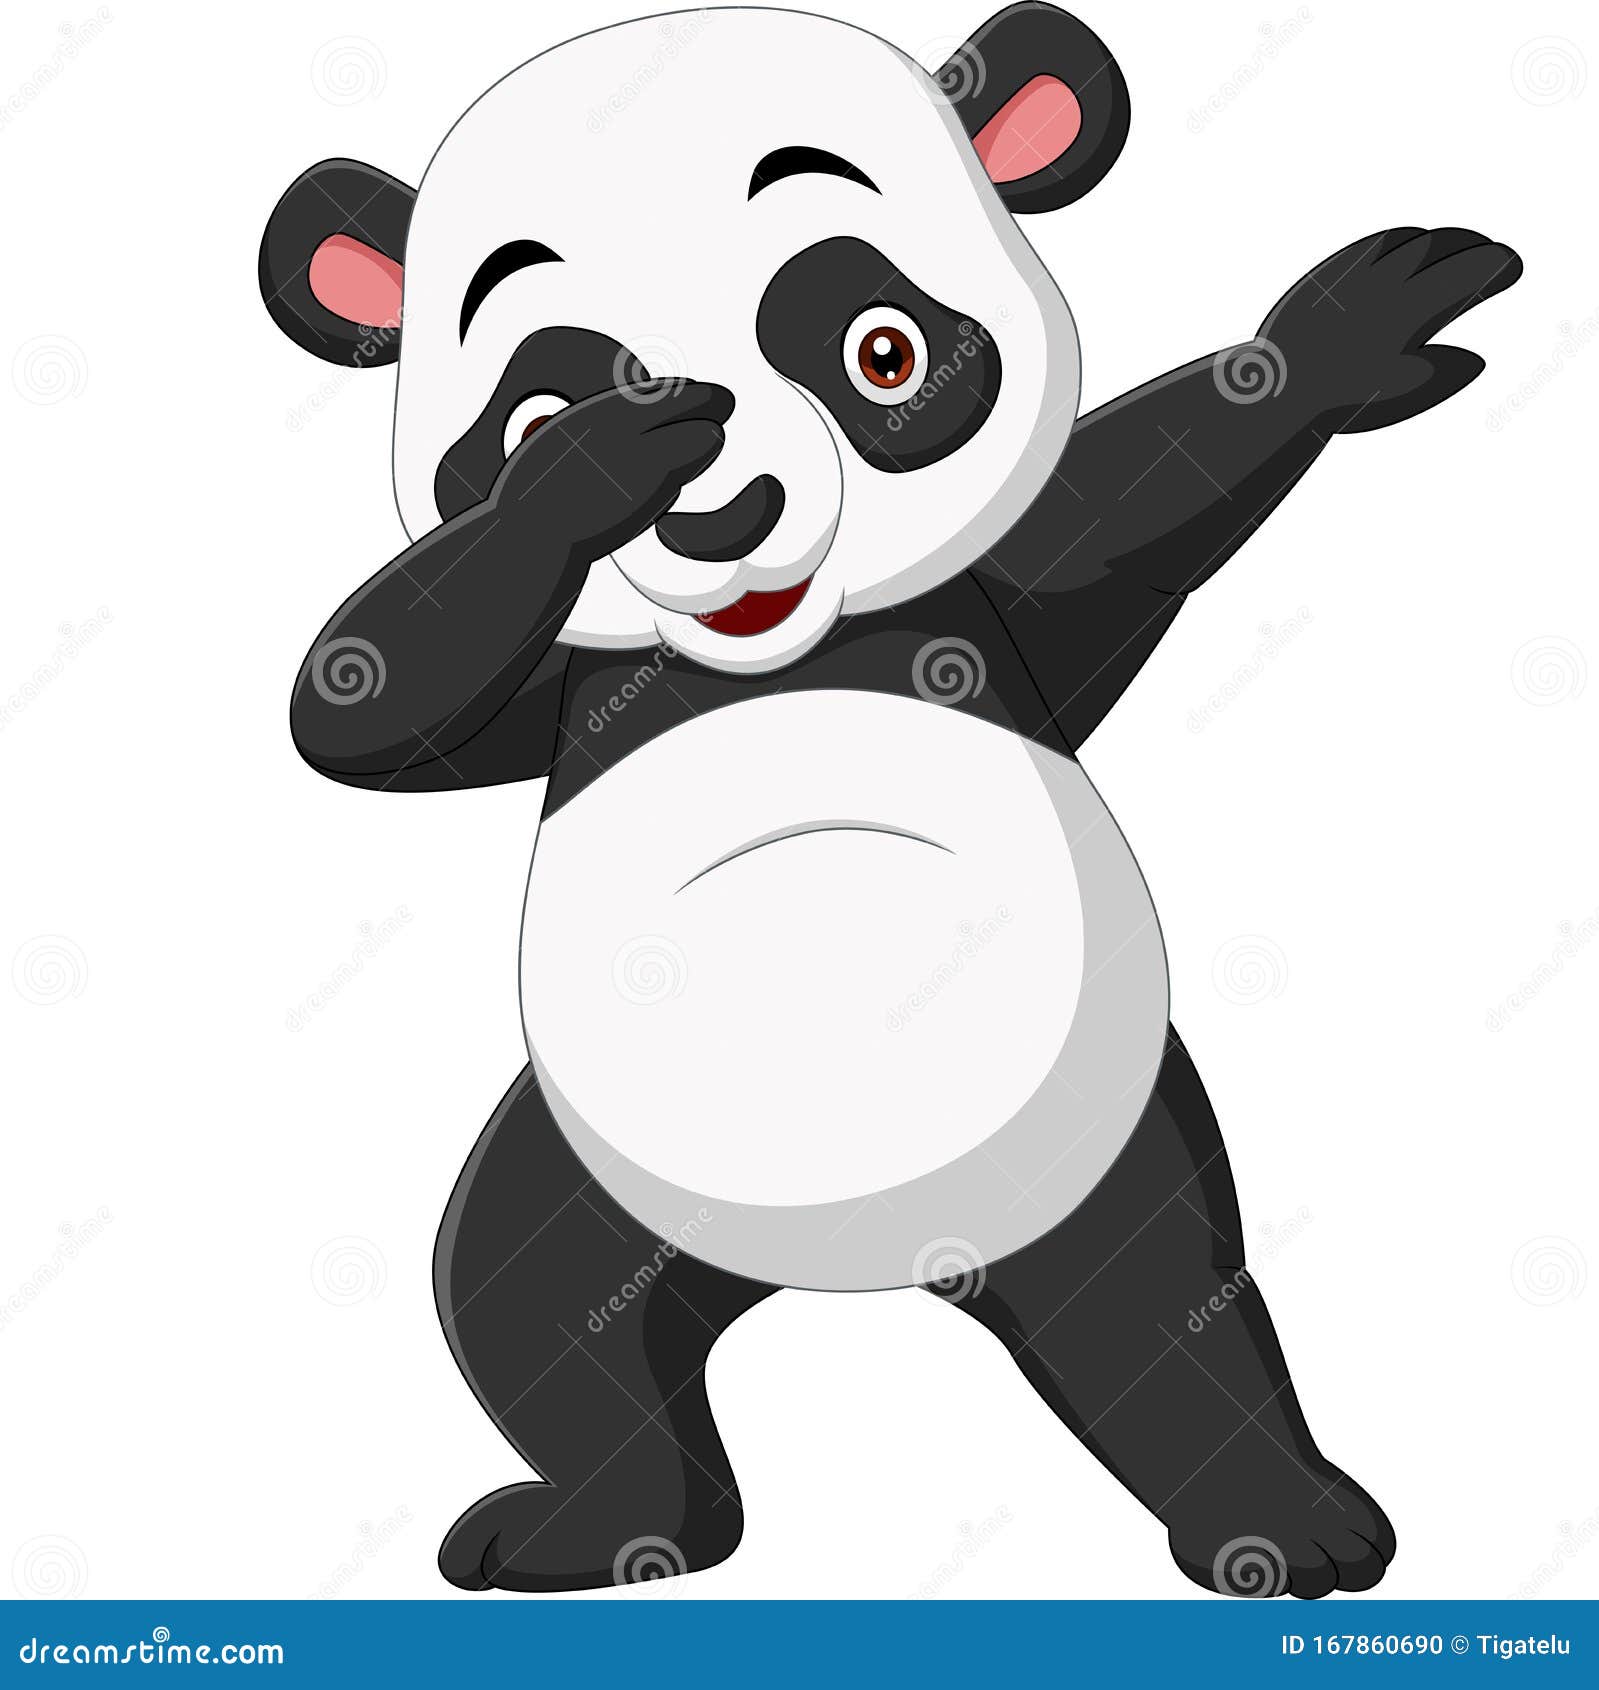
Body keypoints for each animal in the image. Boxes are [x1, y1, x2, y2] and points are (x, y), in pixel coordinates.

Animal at [260, 4, 1519, 1597]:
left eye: (883, 352)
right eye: (530, 407)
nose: (722, 515)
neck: (772, 652)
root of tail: (863, 1267)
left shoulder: (988, 612)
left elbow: (1125, 505)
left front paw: (1335, 344)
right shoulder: (554, 689)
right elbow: (355, 698)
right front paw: (586, 477)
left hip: (1097, 1146)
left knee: (1165, 1316)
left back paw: (1274, 1521)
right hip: (597, 1172)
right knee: (530, 1305)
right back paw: (608, 1523)